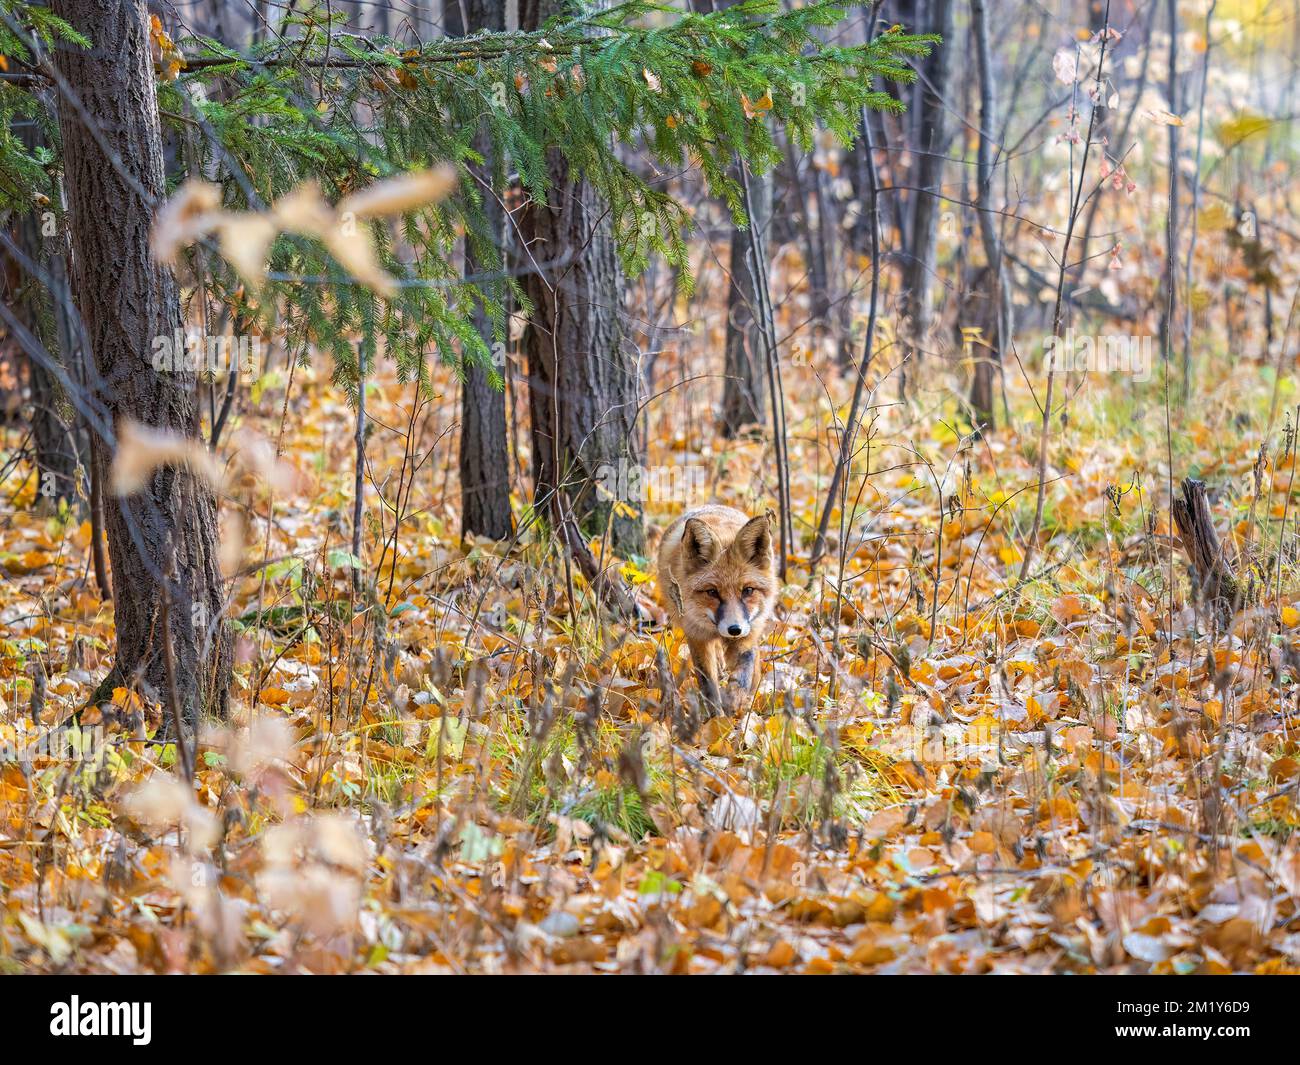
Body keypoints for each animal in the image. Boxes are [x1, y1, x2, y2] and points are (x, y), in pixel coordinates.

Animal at [657, 505, 777, 711]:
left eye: (748, 590)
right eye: (712, 592)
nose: (734, 629)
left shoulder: (748, 631)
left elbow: (747, 663)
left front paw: (737, 697)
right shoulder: (697, 635)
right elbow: (708, 684)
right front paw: (716, 717)